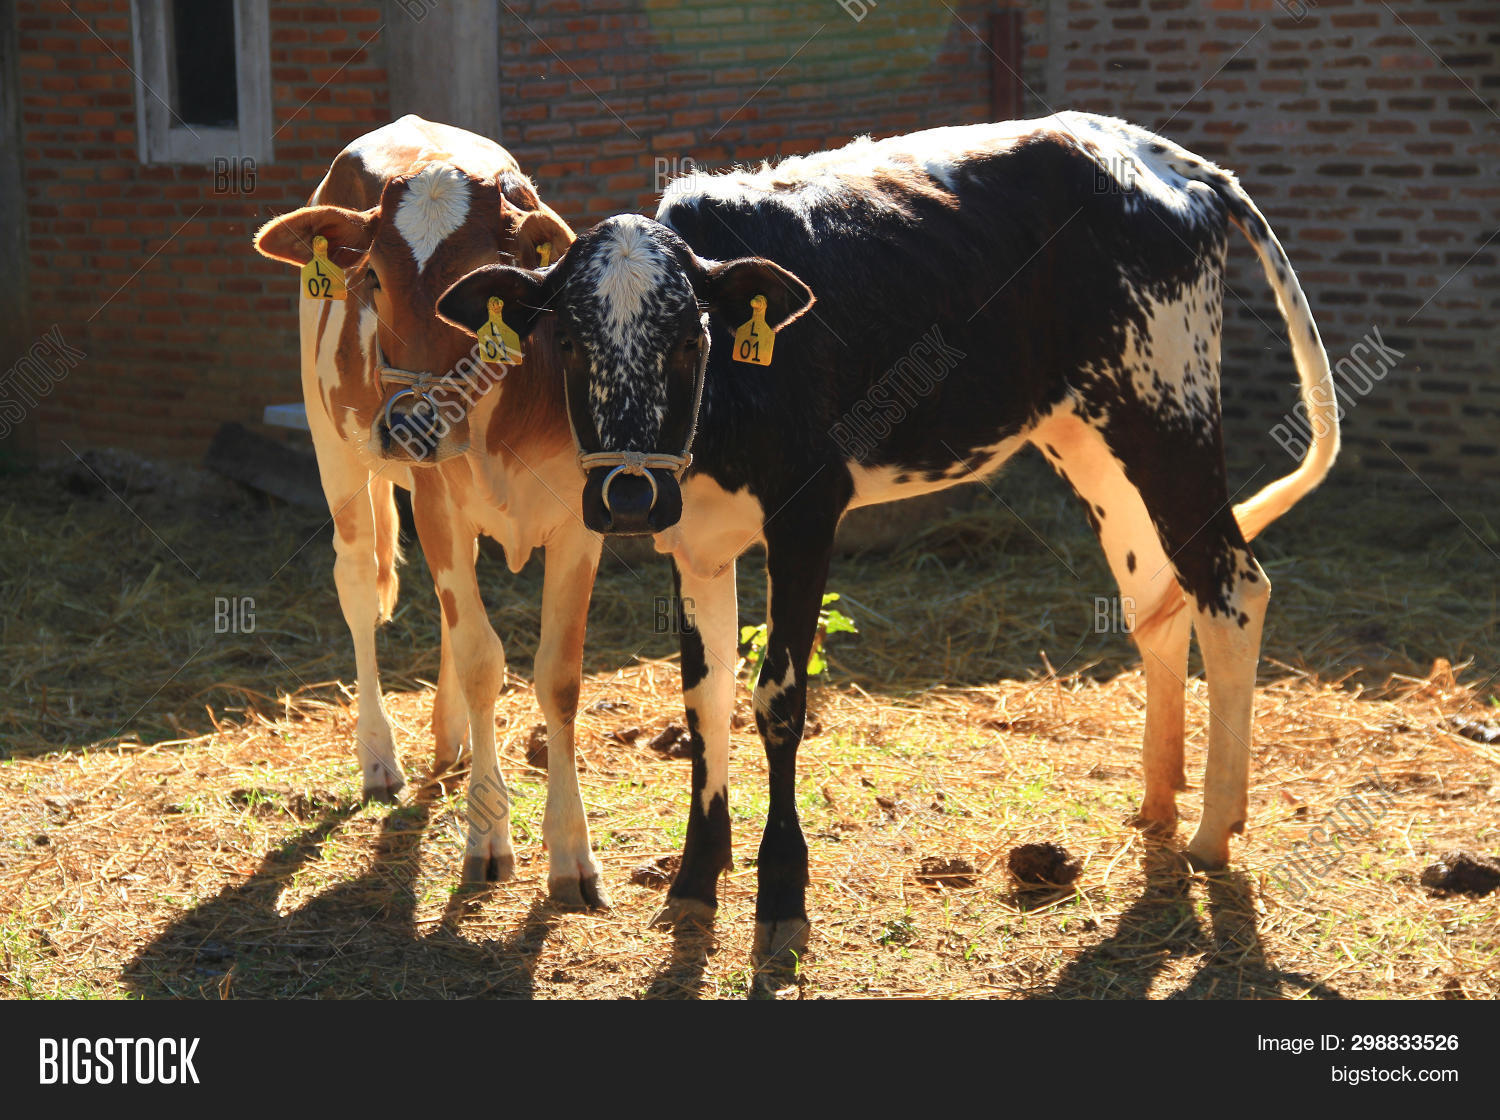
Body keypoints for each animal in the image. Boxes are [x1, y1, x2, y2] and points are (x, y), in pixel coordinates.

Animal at [253, 116, 607, 905]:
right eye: (372, 280)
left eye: (478, 292)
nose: (410, 425)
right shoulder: (438, 498)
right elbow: (481, 659)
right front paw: (489, 840)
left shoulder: (579, 523)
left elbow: (557, 675)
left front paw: (571, 854)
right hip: (335, 449)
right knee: (360, 585)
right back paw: (380, 756)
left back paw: (451, 738)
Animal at [436, 112, 1341, 964]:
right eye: (568, 339)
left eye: (691, 337)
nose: (627, 494)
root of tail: (1153, 153)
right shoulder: (693, 537)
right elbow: (705, 698)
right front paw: (695, 881)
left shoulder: (809, 514)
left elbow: (778, 700)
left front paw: (782, 897)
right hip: (1089, 435)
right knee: (1157, 594)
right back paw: (1157, 801)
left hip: (1166, 406)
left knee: (1231, 588)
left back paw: (1213, 829)